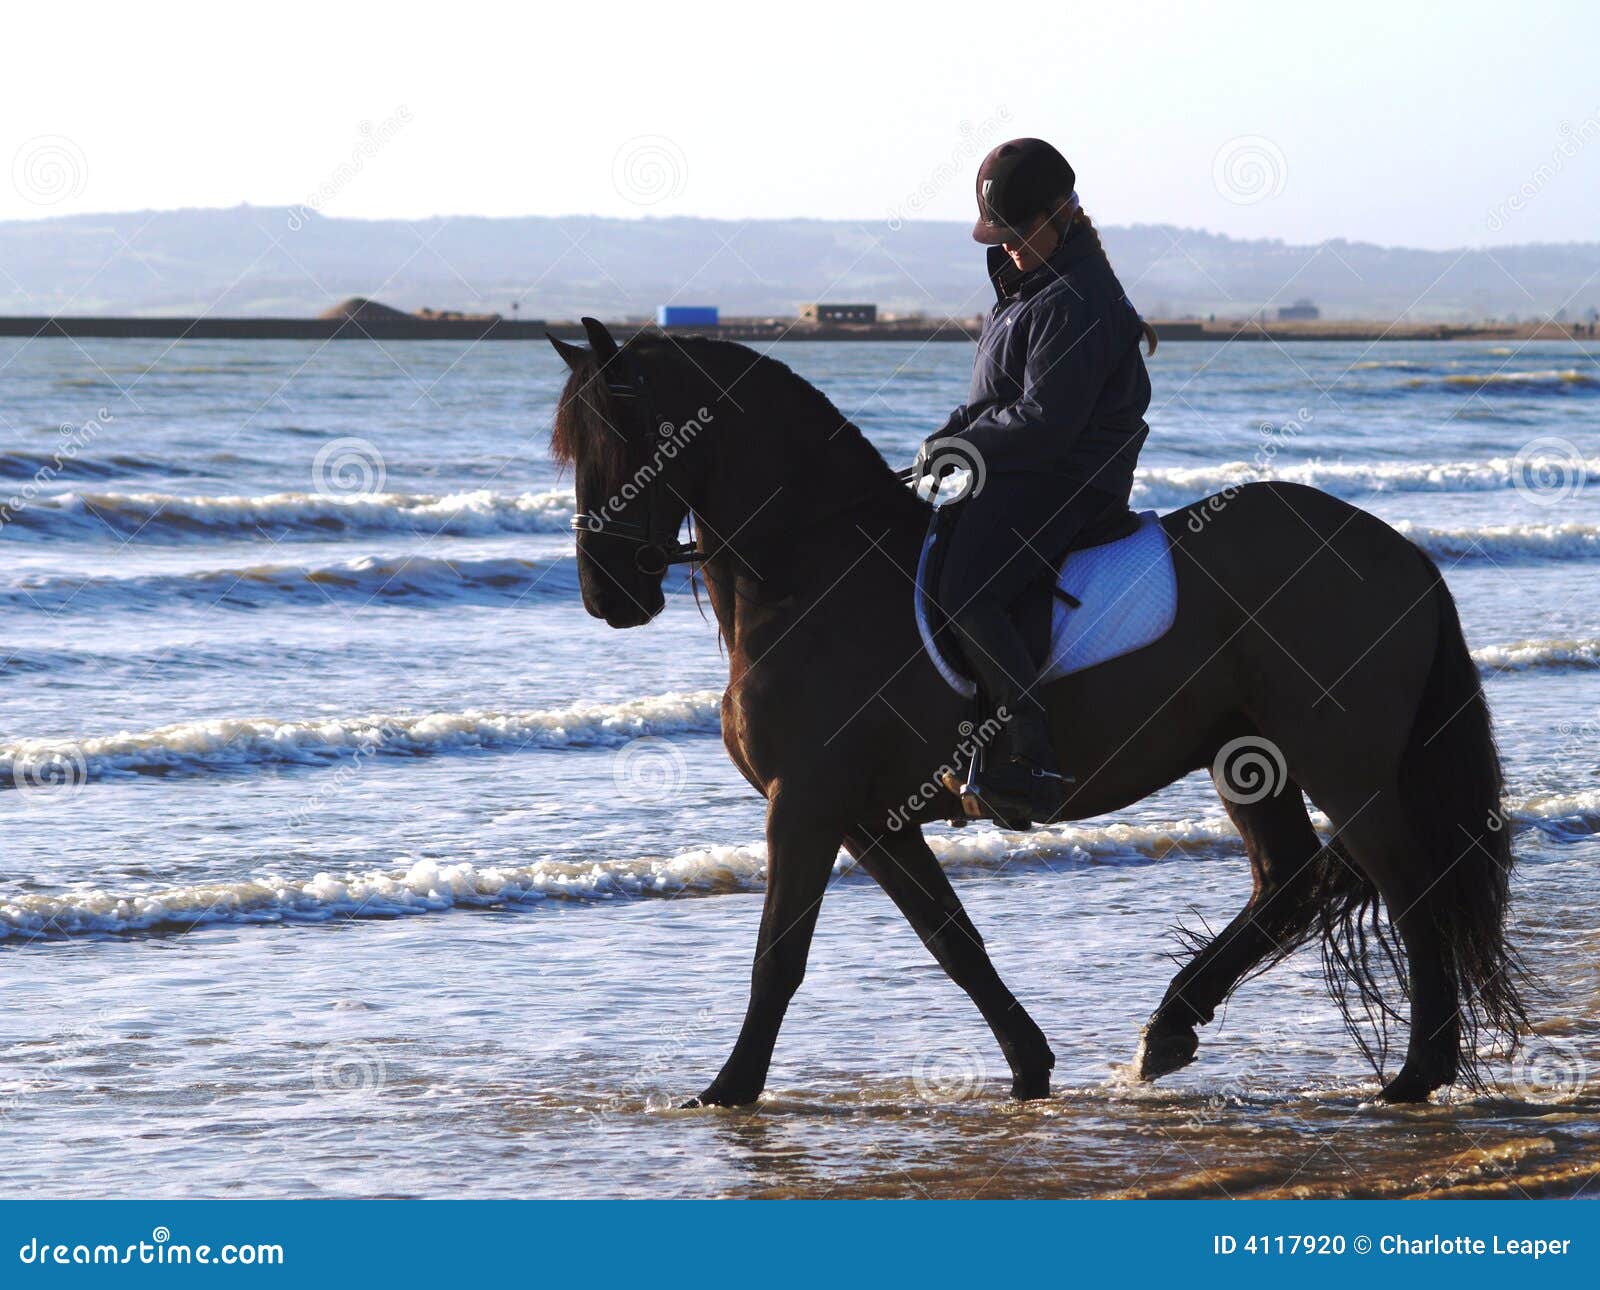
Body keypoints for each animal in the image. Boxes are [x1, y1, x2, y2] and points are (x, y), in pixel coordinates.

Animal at [547, 317, 1526, 1107]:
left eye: (624, 435)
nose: (605, 593)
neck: (813, 568)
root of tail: (1399, 552)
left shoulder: (808, 804)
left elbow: (778, 955)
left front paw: (728, 1090)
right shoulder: (872, 818)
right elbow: (953, 942)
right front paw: (1029, 1069)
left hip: (1340, 760)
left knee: (1409, 887)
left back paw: (1415, 1077)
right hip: (1248, 754)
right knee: (1287, 879)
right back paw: (1171, 1028)